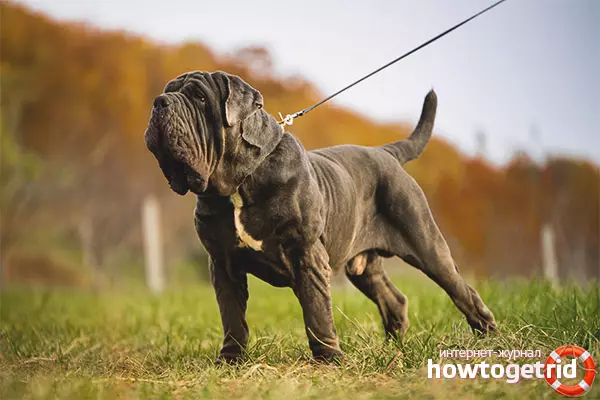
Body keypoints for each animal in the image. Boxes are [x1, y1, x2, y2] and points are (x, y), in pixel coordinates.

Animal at [144, 69, 496, 362]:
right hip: (363, 266)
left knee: (462, 291)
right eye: (168, 92)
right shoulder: (223, 264)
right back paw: (392, 349)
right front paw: (230, 360)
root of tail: (386, 152)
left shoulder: (306, 254)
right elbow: (232, 316)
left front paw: (329, 358)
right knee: (393, 299)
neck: (240, 182)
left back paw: (489, 338)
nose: (159, 102)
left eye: (199, 98)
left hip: (426, 244)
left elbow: (316, 310)